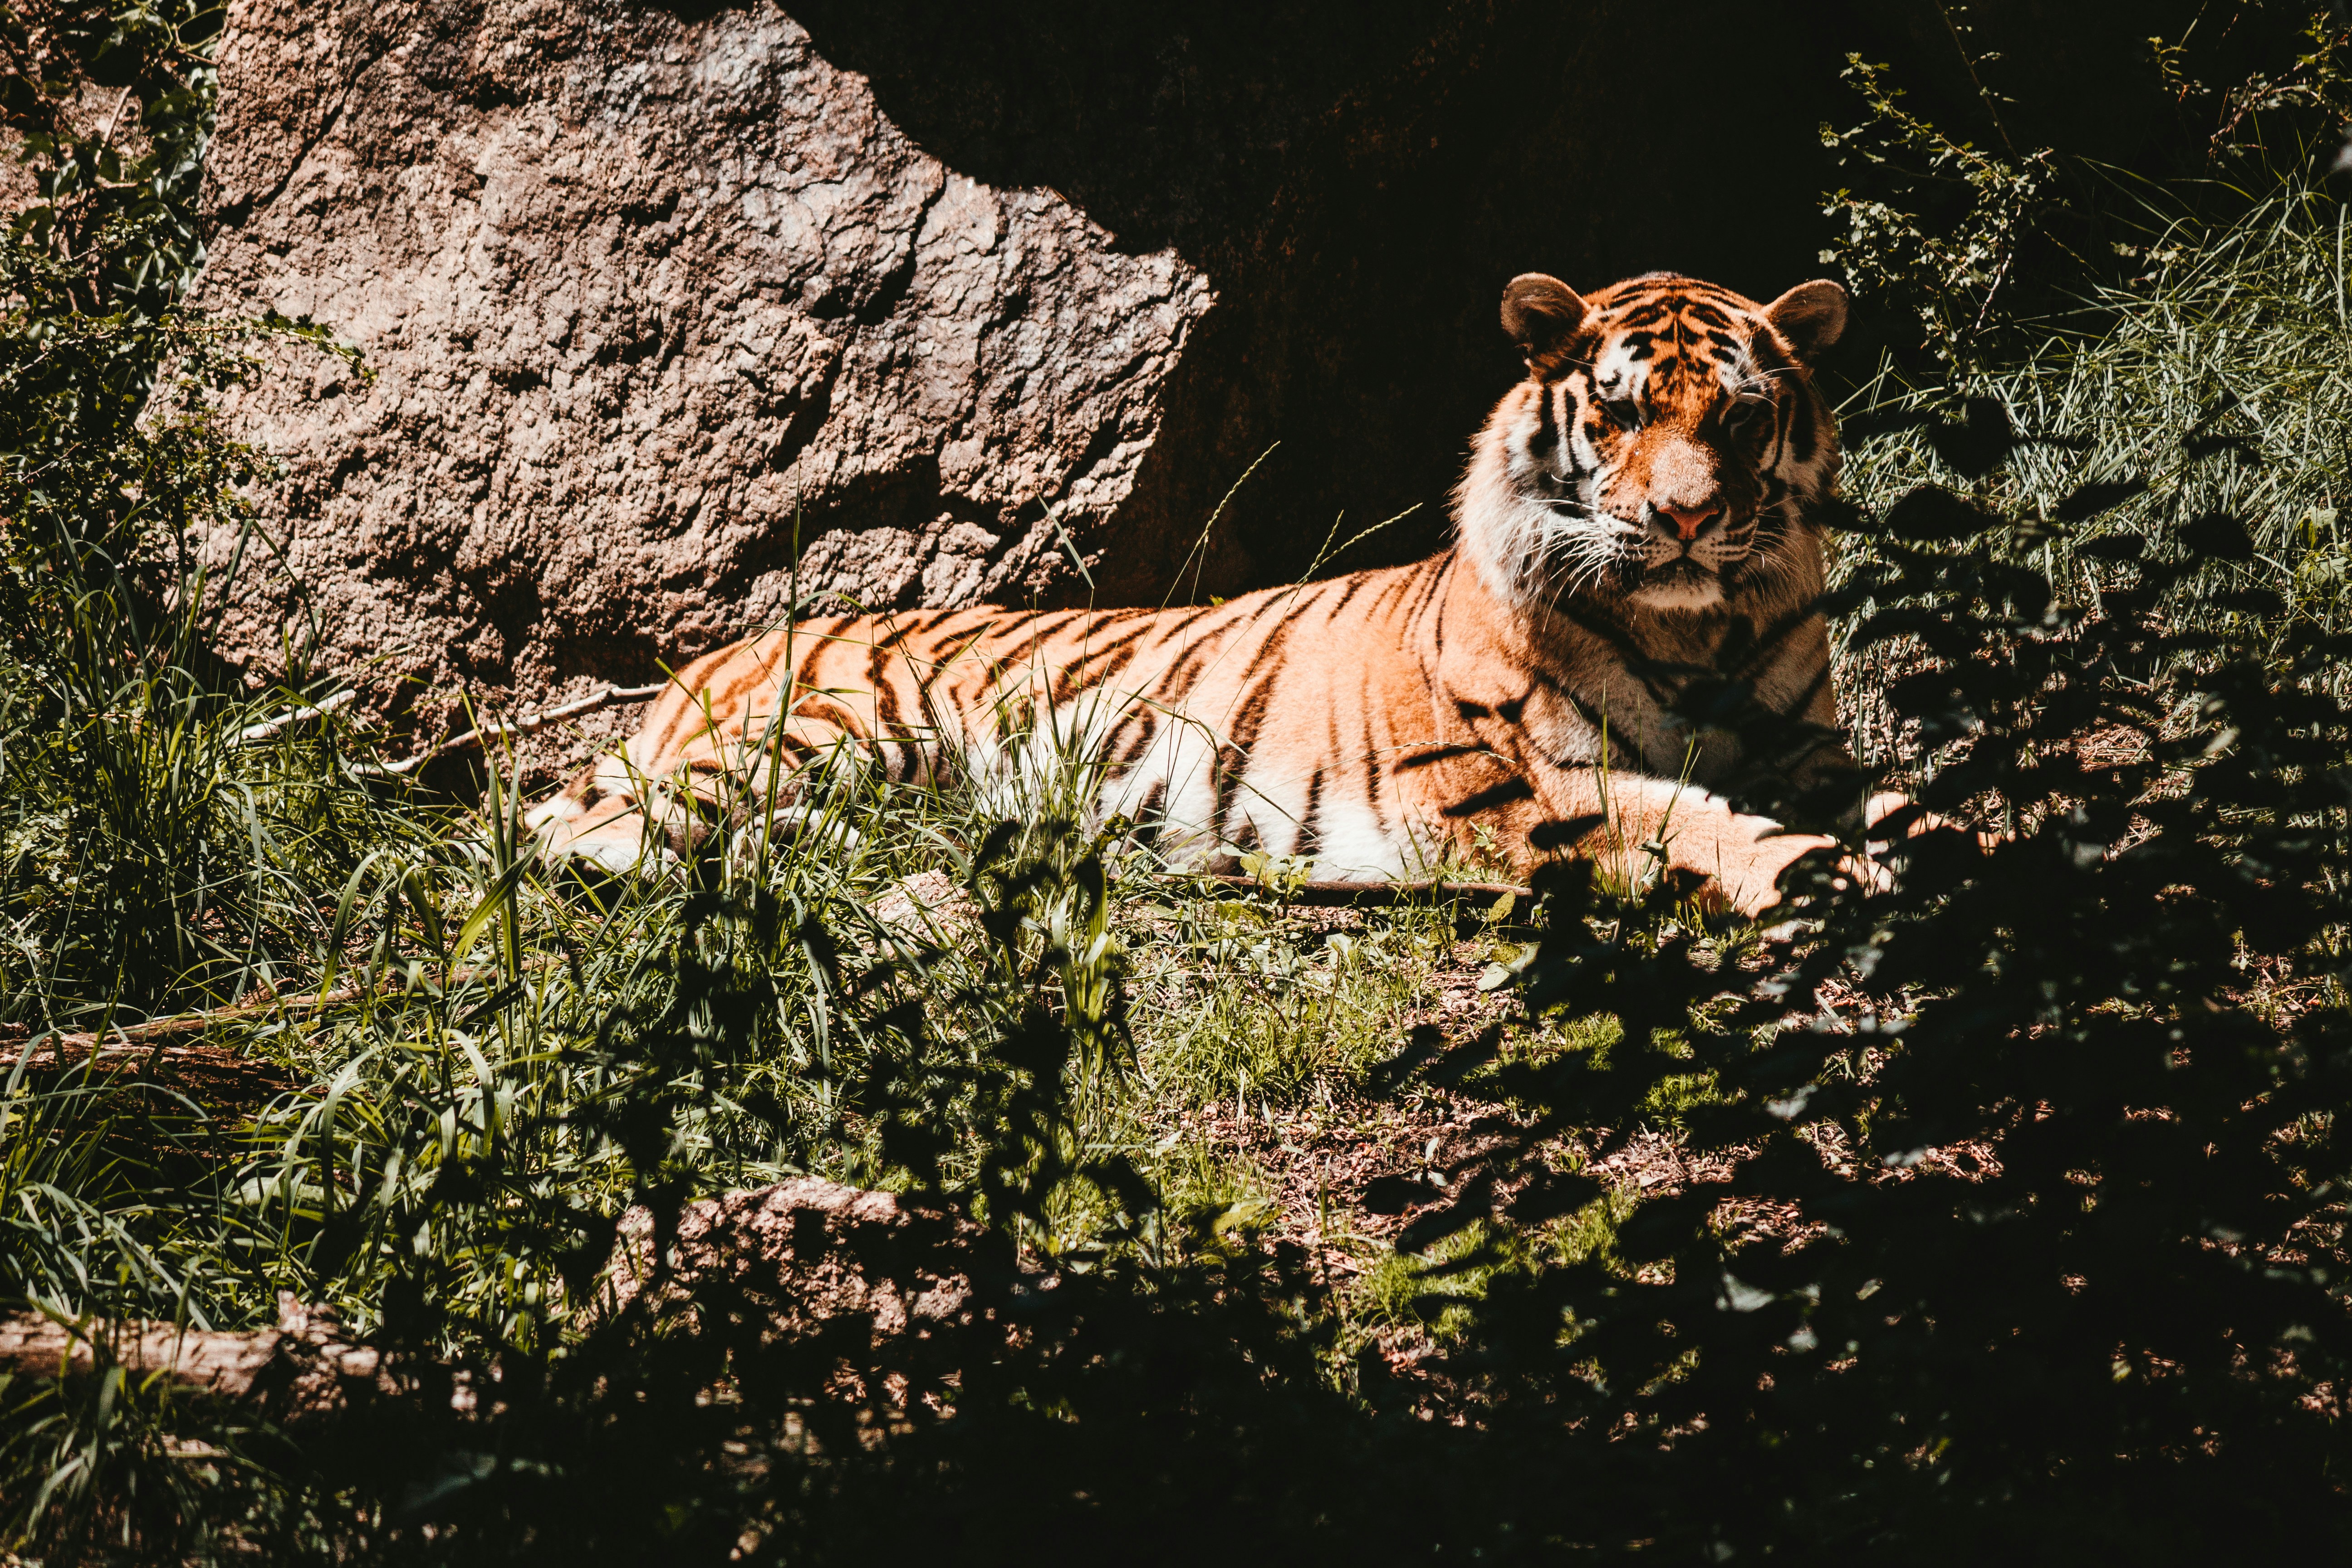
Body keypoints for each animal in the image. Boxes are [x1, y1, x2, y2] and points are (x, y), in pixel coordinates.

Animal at [526, 270, 1890, 914]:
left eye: (1737, 417)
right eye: (1618, 414)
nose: (1686, 519)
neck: (1700, 627)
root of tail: (708, 660)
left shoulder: (1810, 749)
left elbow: (1885, 800)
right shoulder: (1547, 785)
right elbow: (1713, 827)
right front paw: (1831, 879)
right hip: (827, 731)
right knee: (571, 838)